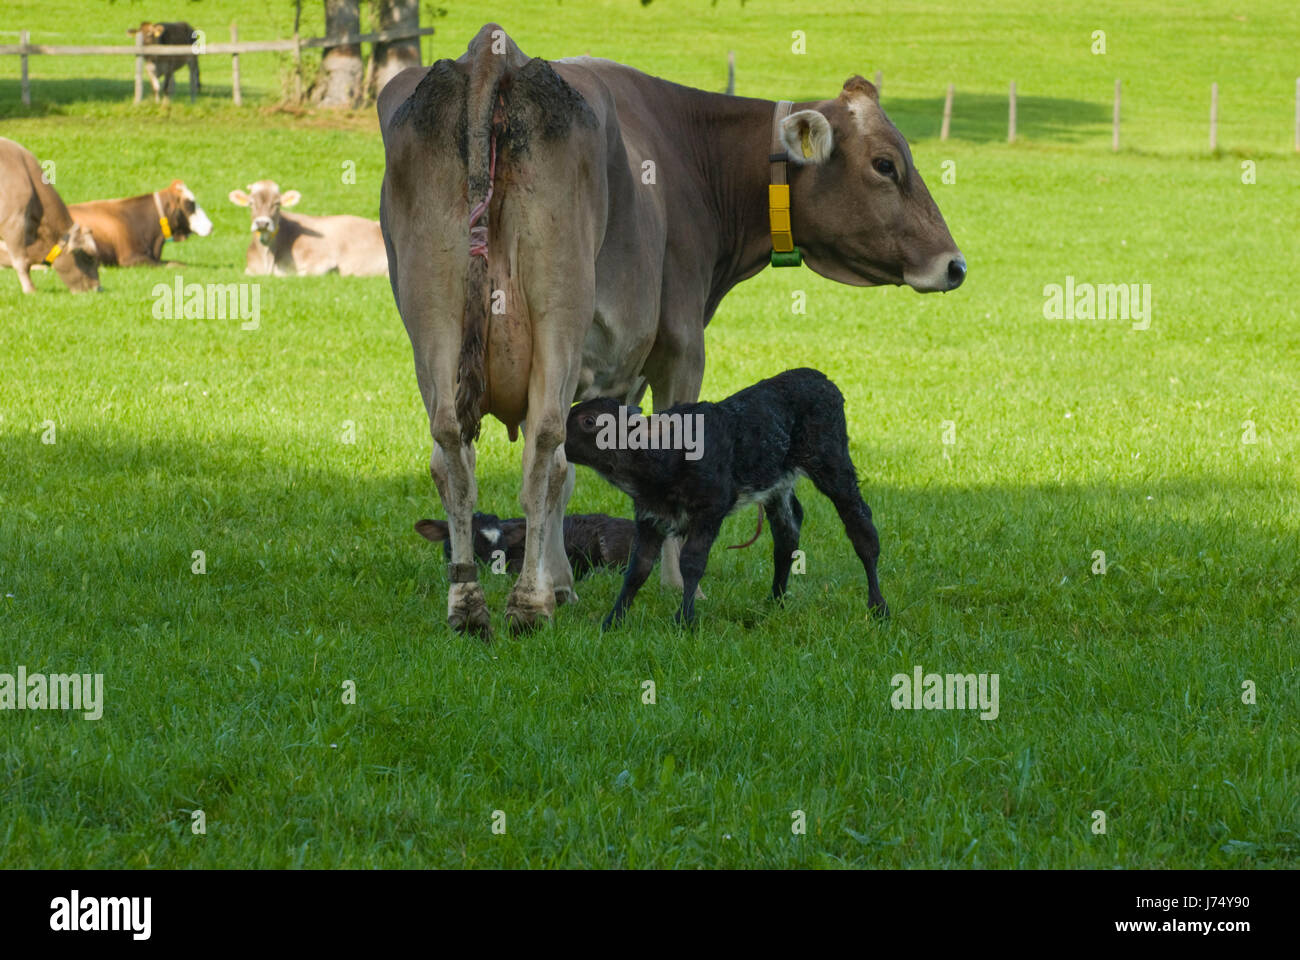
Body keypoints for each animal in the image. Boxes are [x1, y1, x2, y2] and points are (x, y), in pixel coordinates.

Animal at [378, 24, 965, 638]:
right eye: (885, 165)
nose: (954, 265)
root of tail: (493, 51)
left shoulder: (611, 372)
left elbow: (576, 473)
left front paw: (563, 582)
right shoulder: (678, 347)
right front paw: (675, 585)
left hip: (432, 326)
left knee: (451, 450)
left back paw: (468, 604)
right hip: (557, 309)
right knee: (542, 441)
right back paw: (526, 605)